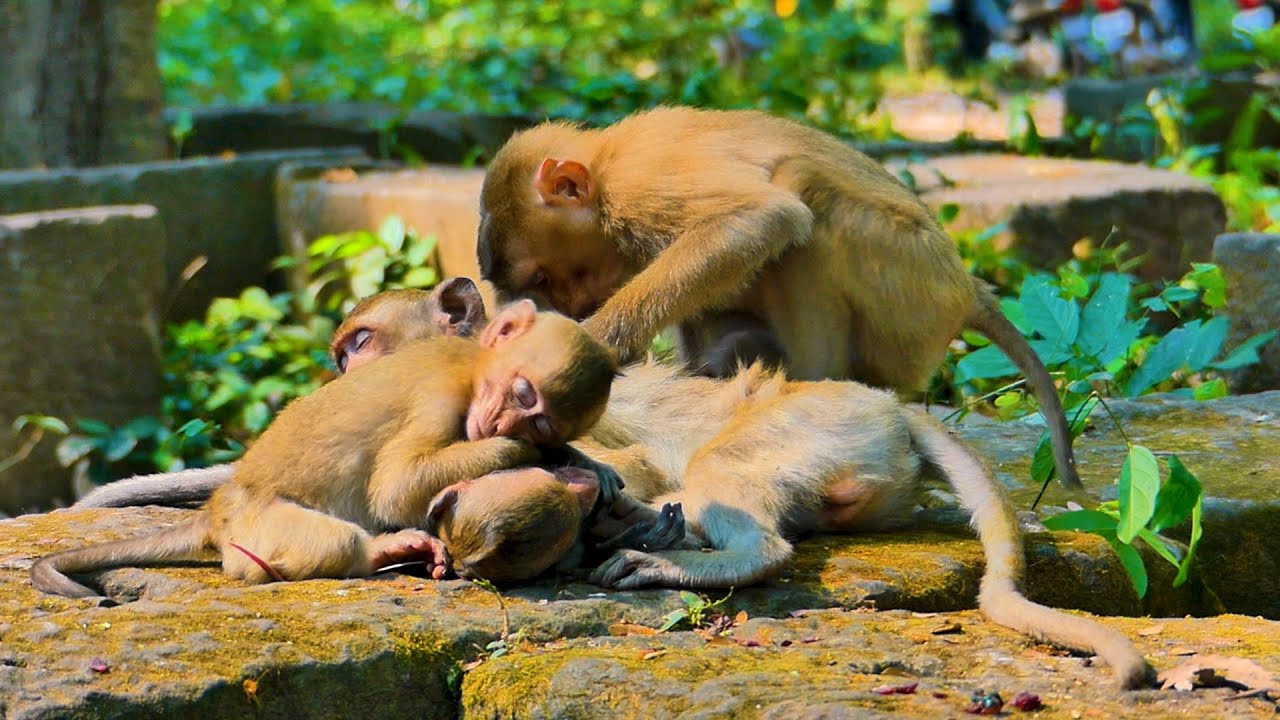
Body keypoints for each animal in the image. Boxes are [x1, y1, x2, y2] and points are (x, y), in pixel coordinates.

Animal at [31, 300, 618, 598]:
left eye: (539, 420)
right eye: (522, 395)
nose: (502, 424)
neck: (473, 365)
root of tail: (218, 511)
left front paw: (579, 461)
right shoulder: (439, 397)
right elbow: (396, 487)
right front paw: (541, 457)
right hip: (259, 528)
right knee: (317, 545)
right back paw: (378, 551)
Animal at [476, 106, 1082, 490]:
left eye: (541, 278)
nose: (568, 307)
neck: (604, 166)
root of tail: (964, 284)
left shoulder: (640, 185)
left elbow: (762, 218)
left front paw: (597, 342)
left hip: (910, 297)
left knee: (803, 192)